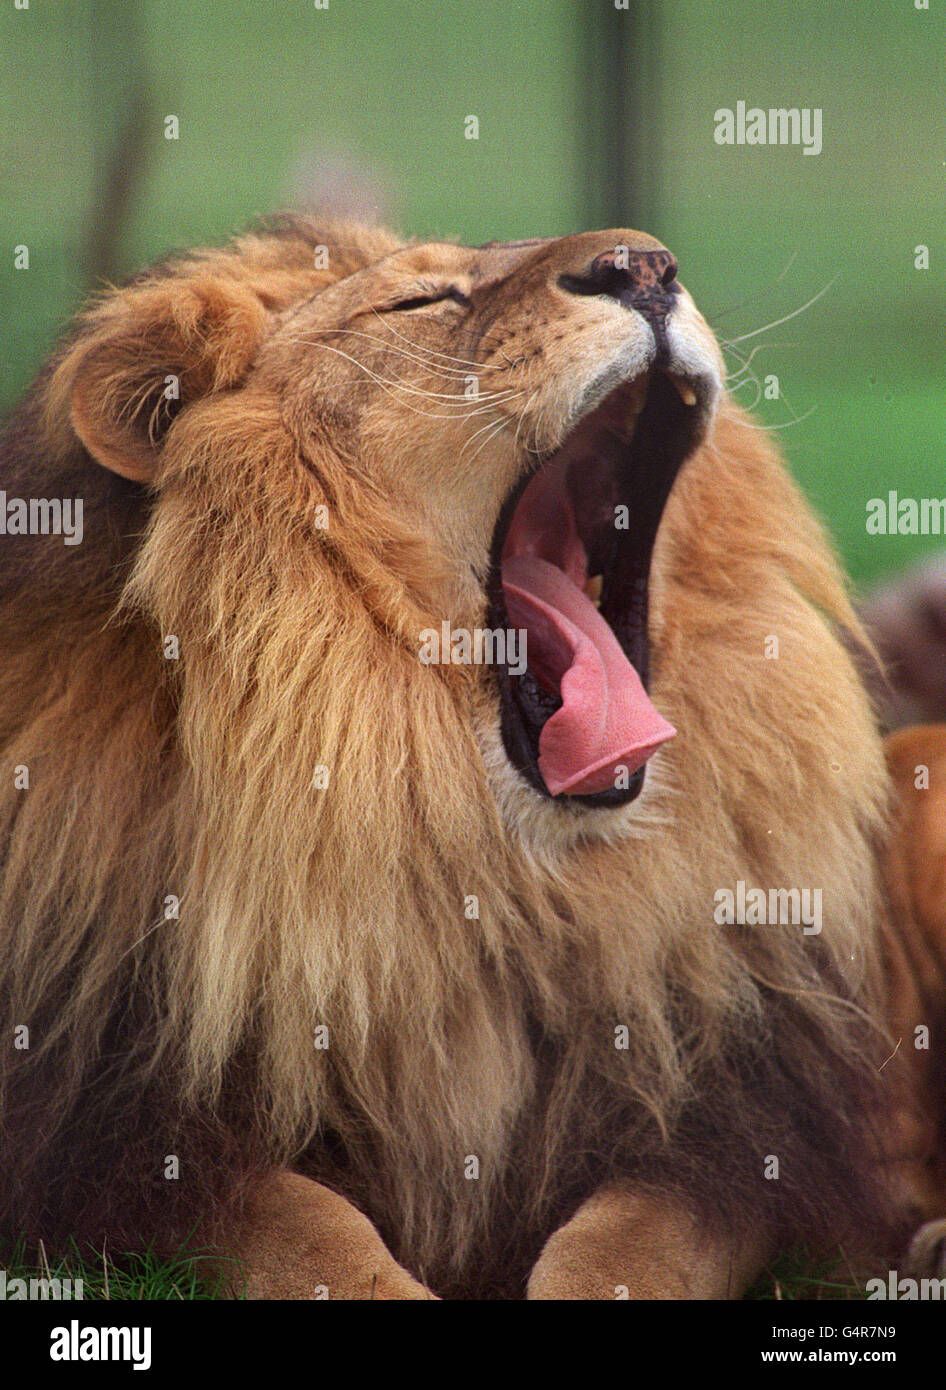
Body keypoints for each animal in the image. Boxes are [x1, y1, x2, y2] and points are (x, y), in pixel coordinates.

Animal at [1, 215, 944, 1299]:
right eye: (420, 302)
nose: (644, 266)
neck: (490, 867)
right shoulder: (115, 1133)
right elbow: (304, 1226)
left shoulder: (734, 1127)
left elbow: (629, 1243)